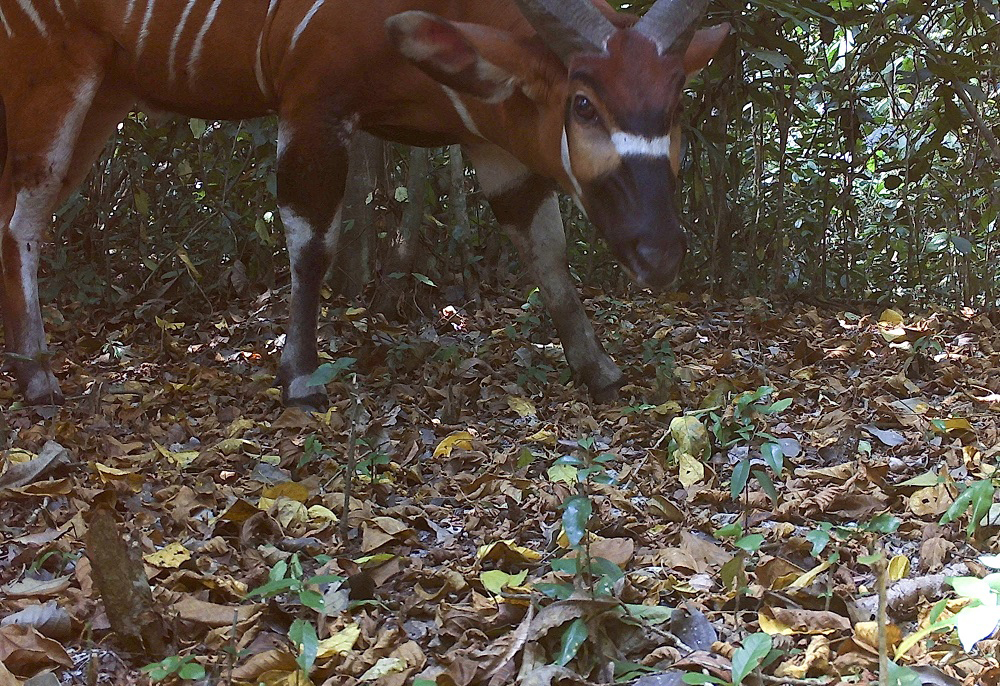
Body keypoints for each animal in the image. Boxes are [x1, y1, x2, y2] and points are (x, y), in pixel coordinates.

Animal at [0, 0, 728, 407]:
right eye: (584, 104)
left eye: (677, 100)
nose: (661, 252)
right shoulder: (314, 104)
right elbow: (312, 243)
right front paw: (299, 377)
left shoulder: (486, 135)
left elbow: (546, 251)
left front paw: (598, 370)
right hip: (54, 69)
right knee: (23, 215)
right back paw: (38, 381)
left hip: (108, 90)